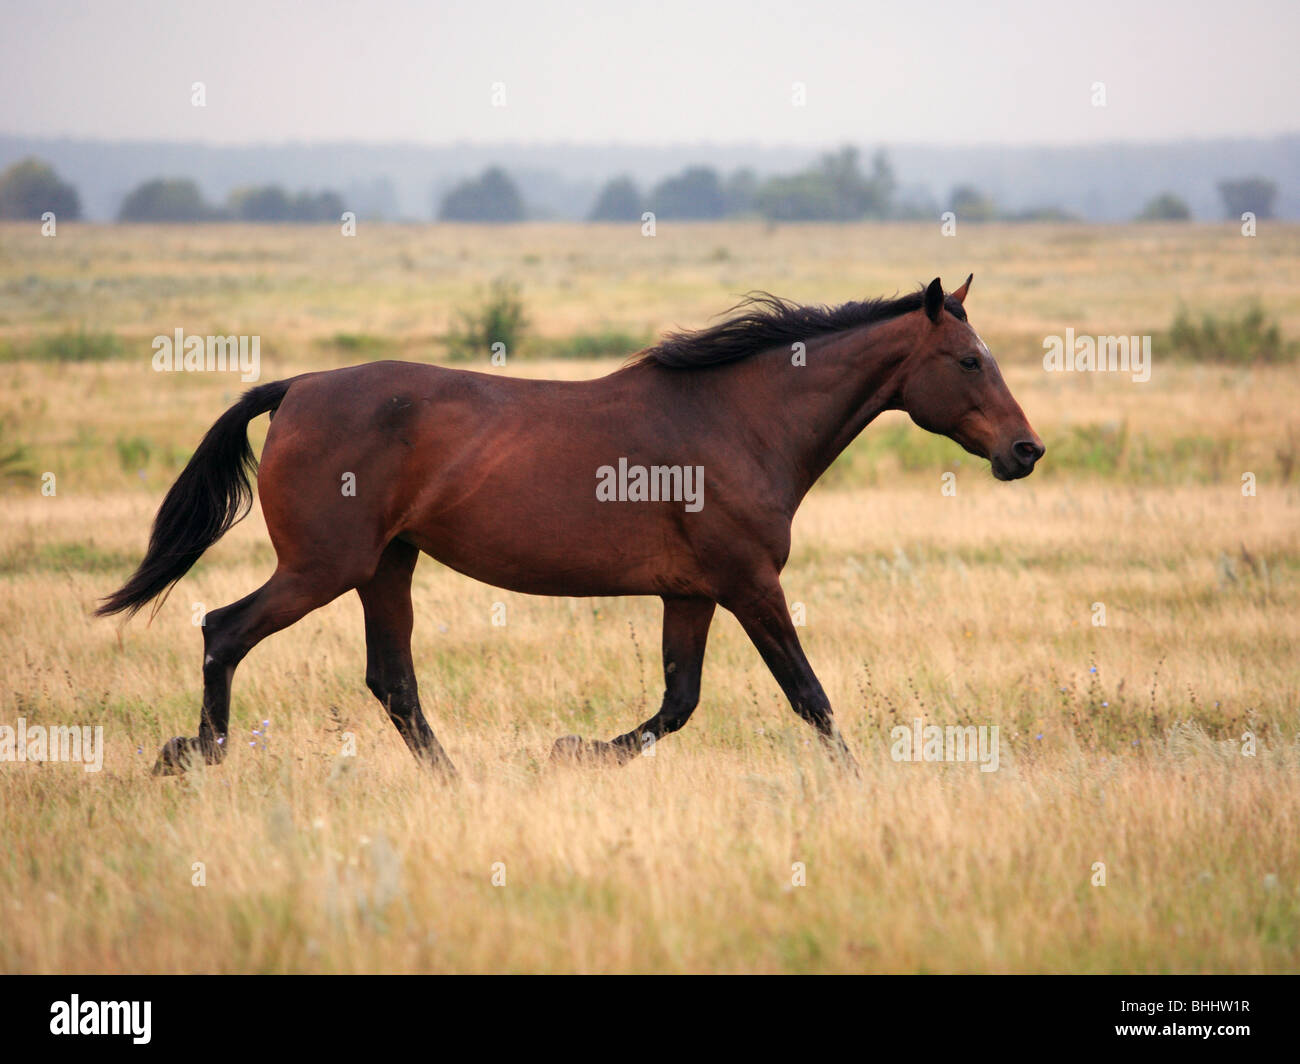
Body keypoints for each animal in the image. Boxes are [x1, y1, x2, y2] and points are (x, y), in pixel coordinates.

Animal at [98, 275, 1043, 777]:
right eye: (969, 361)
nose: (1026, 450)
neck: (739, 421)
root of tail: (294, 388)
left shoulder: (692, 594)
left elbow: (679, 702)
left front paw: (571, 750)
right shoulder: (750, 585)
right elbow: (808, 695)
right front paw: (858, 784)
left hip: (386, 569)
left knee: (391, 682)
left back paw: (456, 783)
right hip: (322, 569)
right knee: (225, 631)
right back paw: (194, 753)